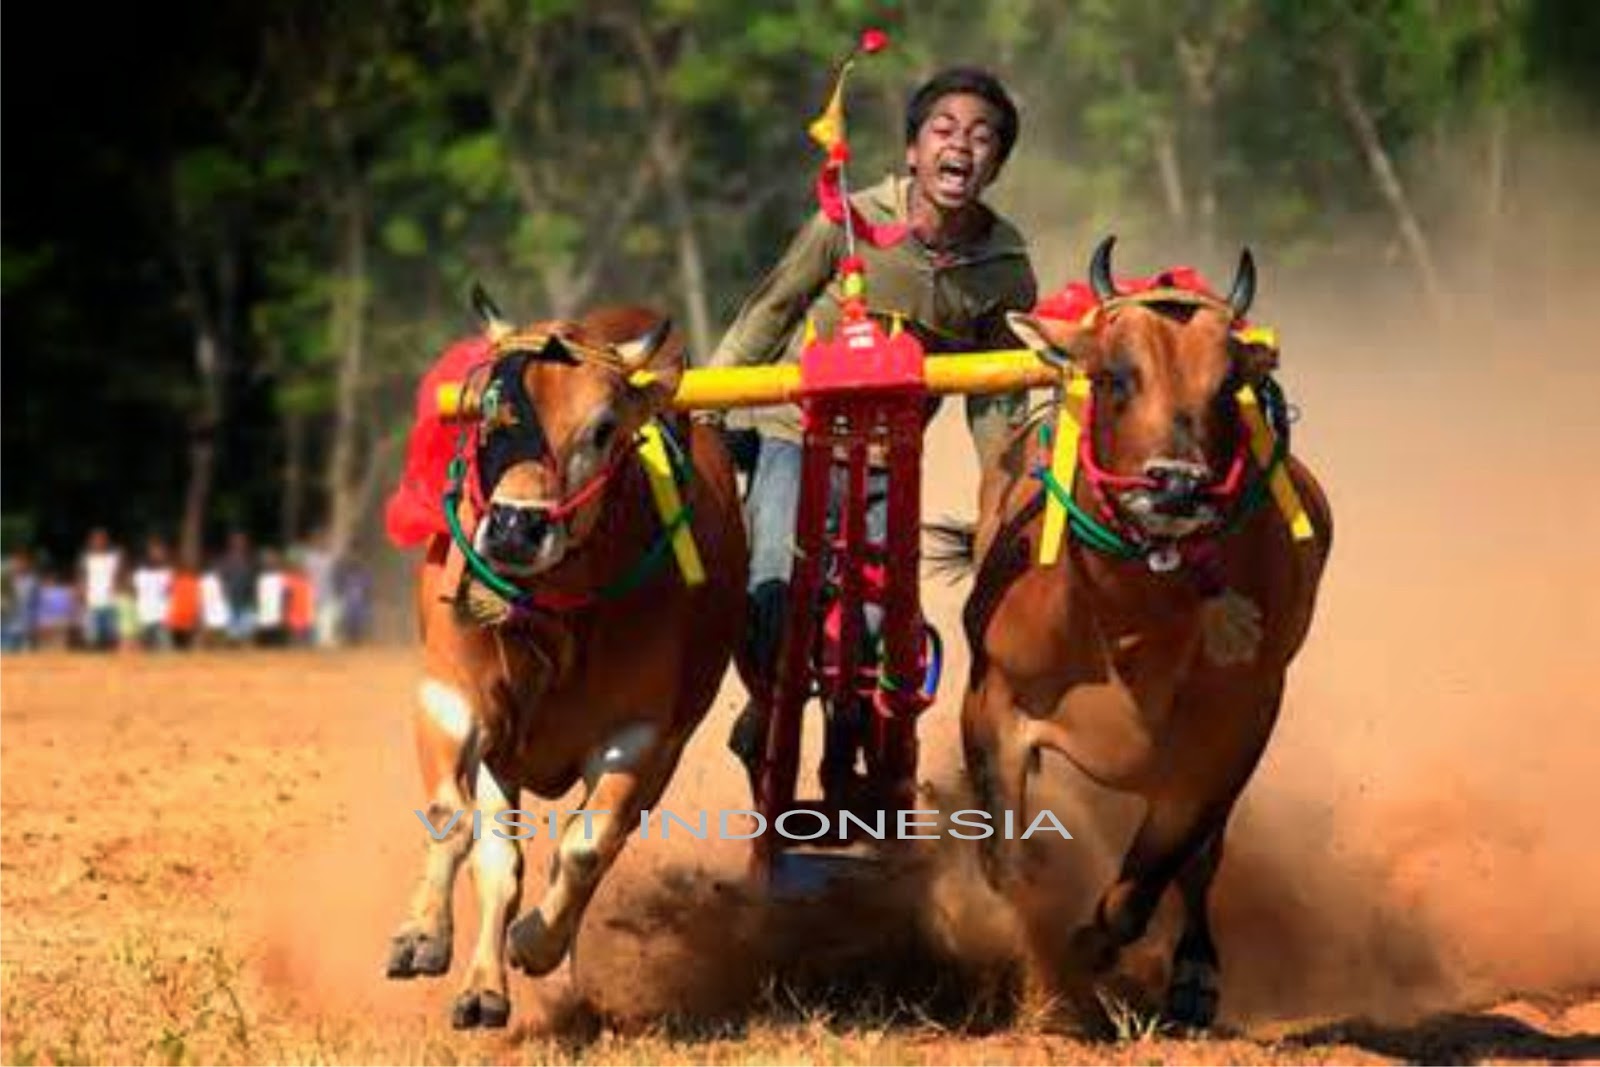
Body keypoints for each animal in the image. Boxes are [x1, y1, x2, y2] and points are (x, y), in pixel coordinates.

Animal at [381, 292, 748, 1030]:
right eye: (492, 412)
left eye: (603, 428)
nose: (515, 527)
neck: (552, 619)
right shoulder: (451, 697)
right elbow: (454, 819)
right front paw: (423, 935)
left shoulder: (639, 737)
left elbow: (585, 848)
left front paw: (536, 942)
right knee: (501, 861)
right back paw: (483, 989)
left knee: (593, 848)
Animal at [928, 237, 1334, 1031]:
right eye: (1117, 375)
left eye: (1227, 386)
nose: (1176, 485)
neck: (1129, 629)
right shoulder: (992, 703)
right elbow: (1008, 861)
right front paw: (1041, 974)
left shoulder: (1230, 735)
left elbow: (1148, 879)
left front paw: (1090, 951)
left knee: (1202, 864)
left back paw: (1194, 973)